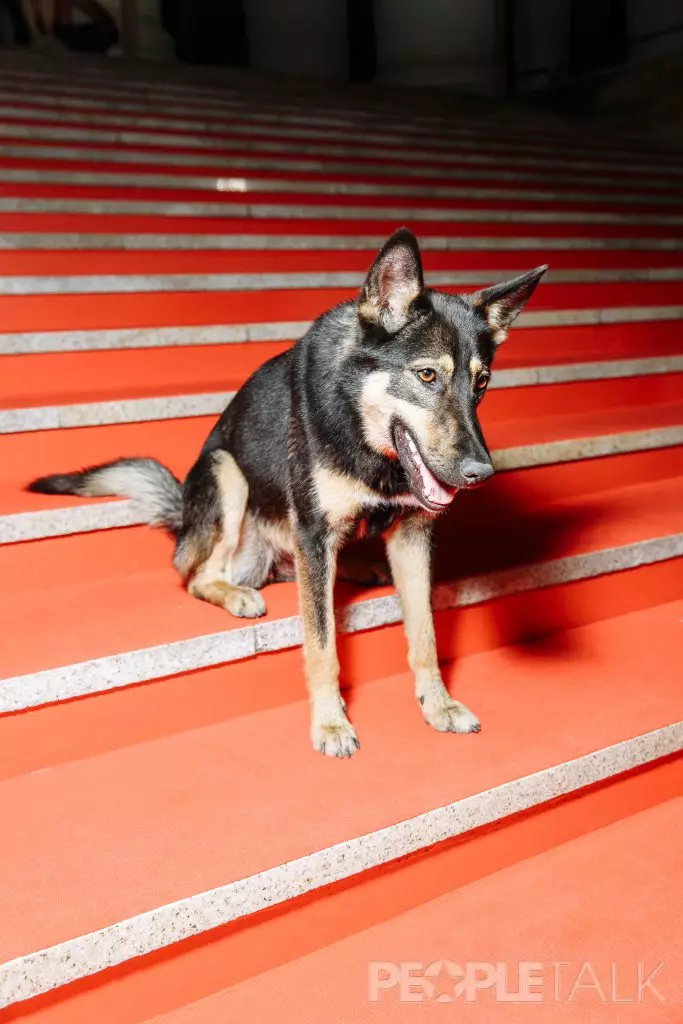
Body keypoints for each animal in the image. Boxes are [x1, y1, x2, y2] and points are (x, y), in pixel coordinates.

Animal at [29, 234, 548, 761]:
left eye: (481, 382)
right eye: (426, 376)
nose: (480, 474)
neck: (362, 431)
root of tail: (182, 521)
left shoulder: (412, 536)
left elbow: (425, 634)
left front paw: (437, 705)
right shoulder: (313, 535)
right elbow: (322, 645)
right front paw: (331, 723)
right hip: (227, 473)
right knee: (196, 575)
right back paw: (236, 593)